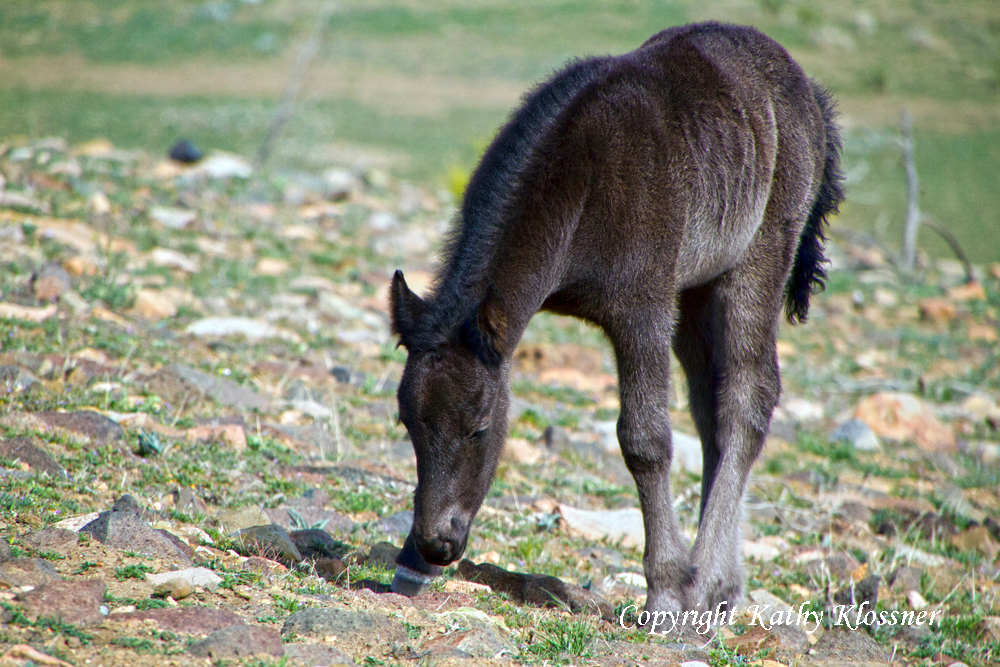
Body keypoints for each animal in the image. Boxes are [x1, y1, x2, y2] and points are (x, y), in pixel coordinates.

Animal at [387, 22, 844, 618]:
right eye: (408, 422)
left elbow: (644, 440)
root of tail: (810, 94)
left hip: (758, 258)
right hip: (696, 286)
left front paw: (668, 588)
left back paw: (707, 580)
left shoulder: (643, 309)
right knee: (711, 405)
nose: (436, 544)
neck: (579, 188)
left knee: (748, 399)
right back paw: (723, 586)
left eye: (481, 428)